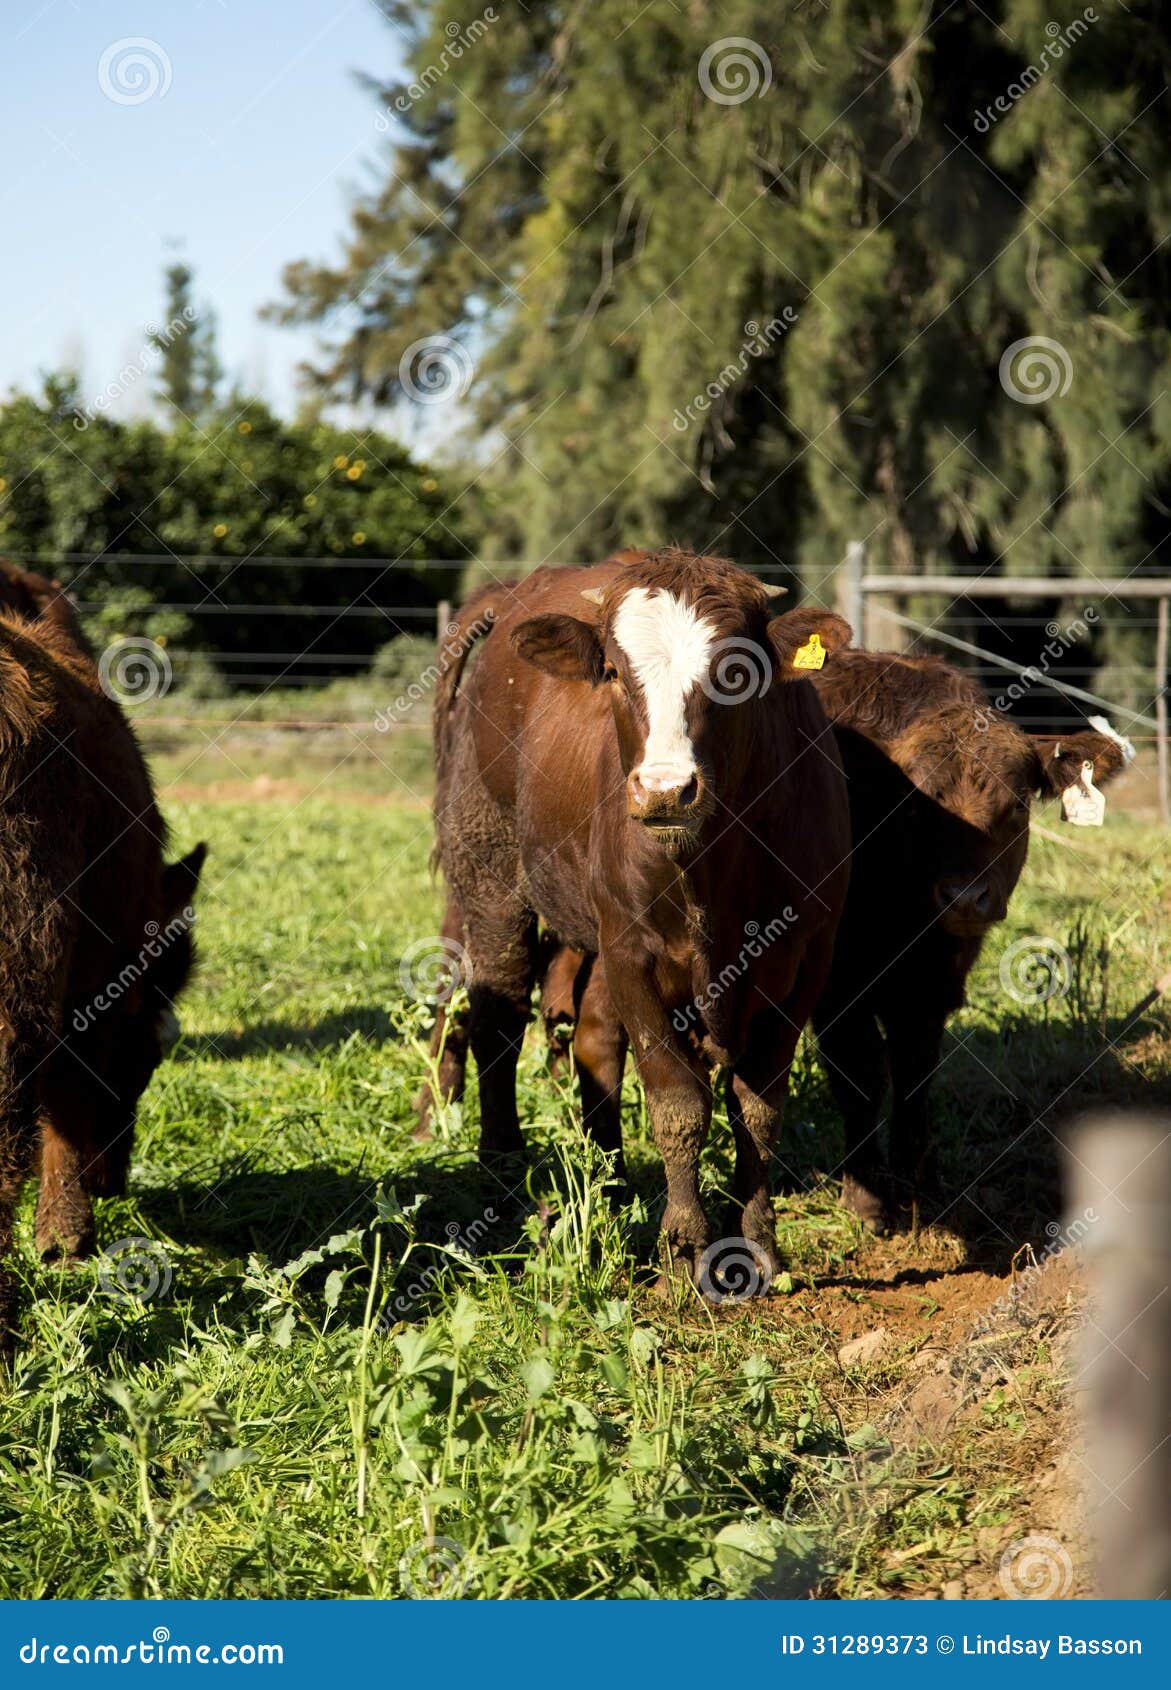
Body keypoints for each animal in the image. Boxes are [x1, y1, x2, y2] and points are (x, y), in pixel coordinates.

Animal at [429, 547, 852, 1291]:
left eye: (735, 673)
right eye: (611, 672)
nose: (663, 790)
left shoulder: (806, 957)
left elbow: (758, 1109)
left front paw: (757, 1244)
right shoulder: (632, 953)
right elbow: (678, 1103)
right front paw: (684, 1250)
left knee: (594, 1040)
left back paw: (613, 1184)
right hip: (492, 880)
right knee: (497, 1018)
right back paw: (502, 1168)